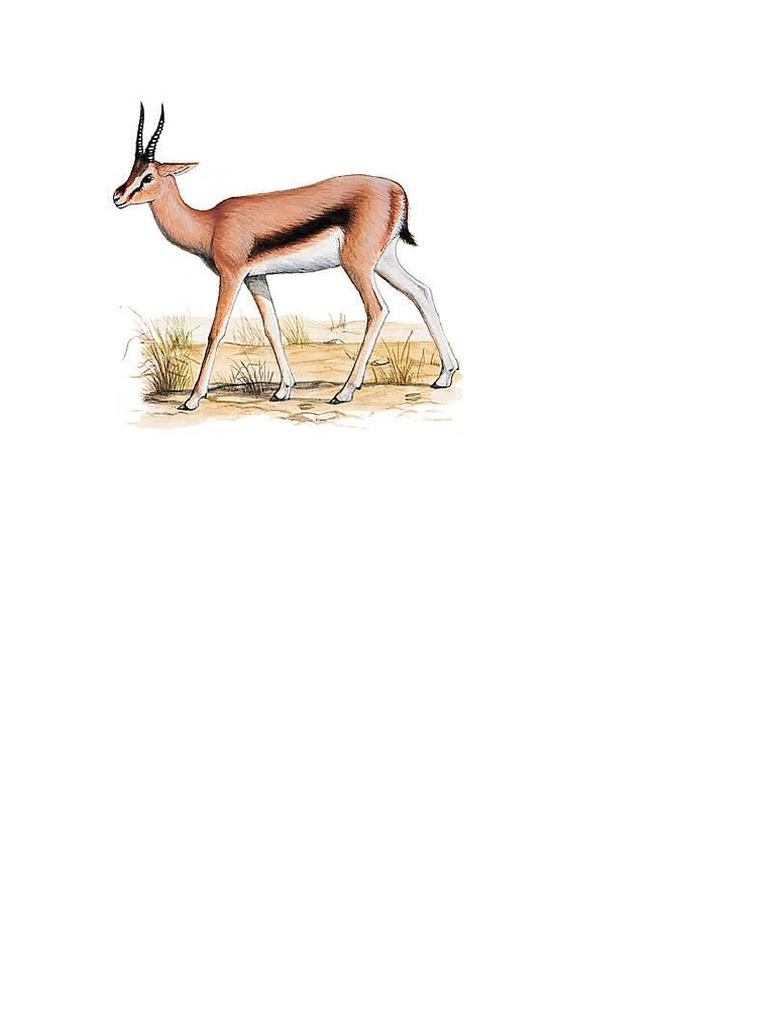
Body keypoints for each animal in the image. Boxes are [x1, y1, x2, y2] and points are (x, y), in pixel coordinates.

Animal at [114, 105, 459, 410]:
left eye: (148, 176)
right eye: (132, 171)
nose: (117, 196)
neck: (209, 224)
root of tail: (397, 190)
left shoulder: (231, 275)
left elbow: (216, 330)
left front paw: (193, 399)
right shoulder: (256, 277)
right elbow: (272, 328)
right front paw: (283, 390)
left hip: (357, 265)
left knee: (377, 309)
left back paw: (345, 391)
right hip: (384, 261)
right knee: (421, 291)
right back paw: (445, 375)